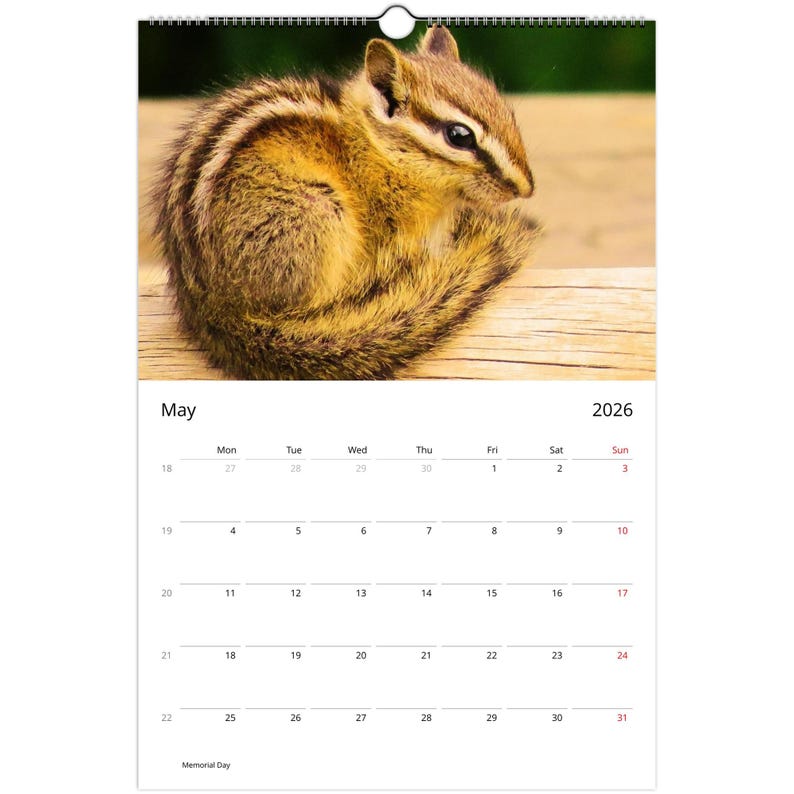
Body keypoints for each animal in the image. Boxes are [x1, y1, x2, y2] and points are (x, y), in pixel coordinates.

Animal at [154, 25, 539, 379]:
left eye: (505, 109)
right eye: (459, 136)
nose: (526, 188)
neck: (376, 147)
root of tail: (213, 310)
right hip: (317, 213)